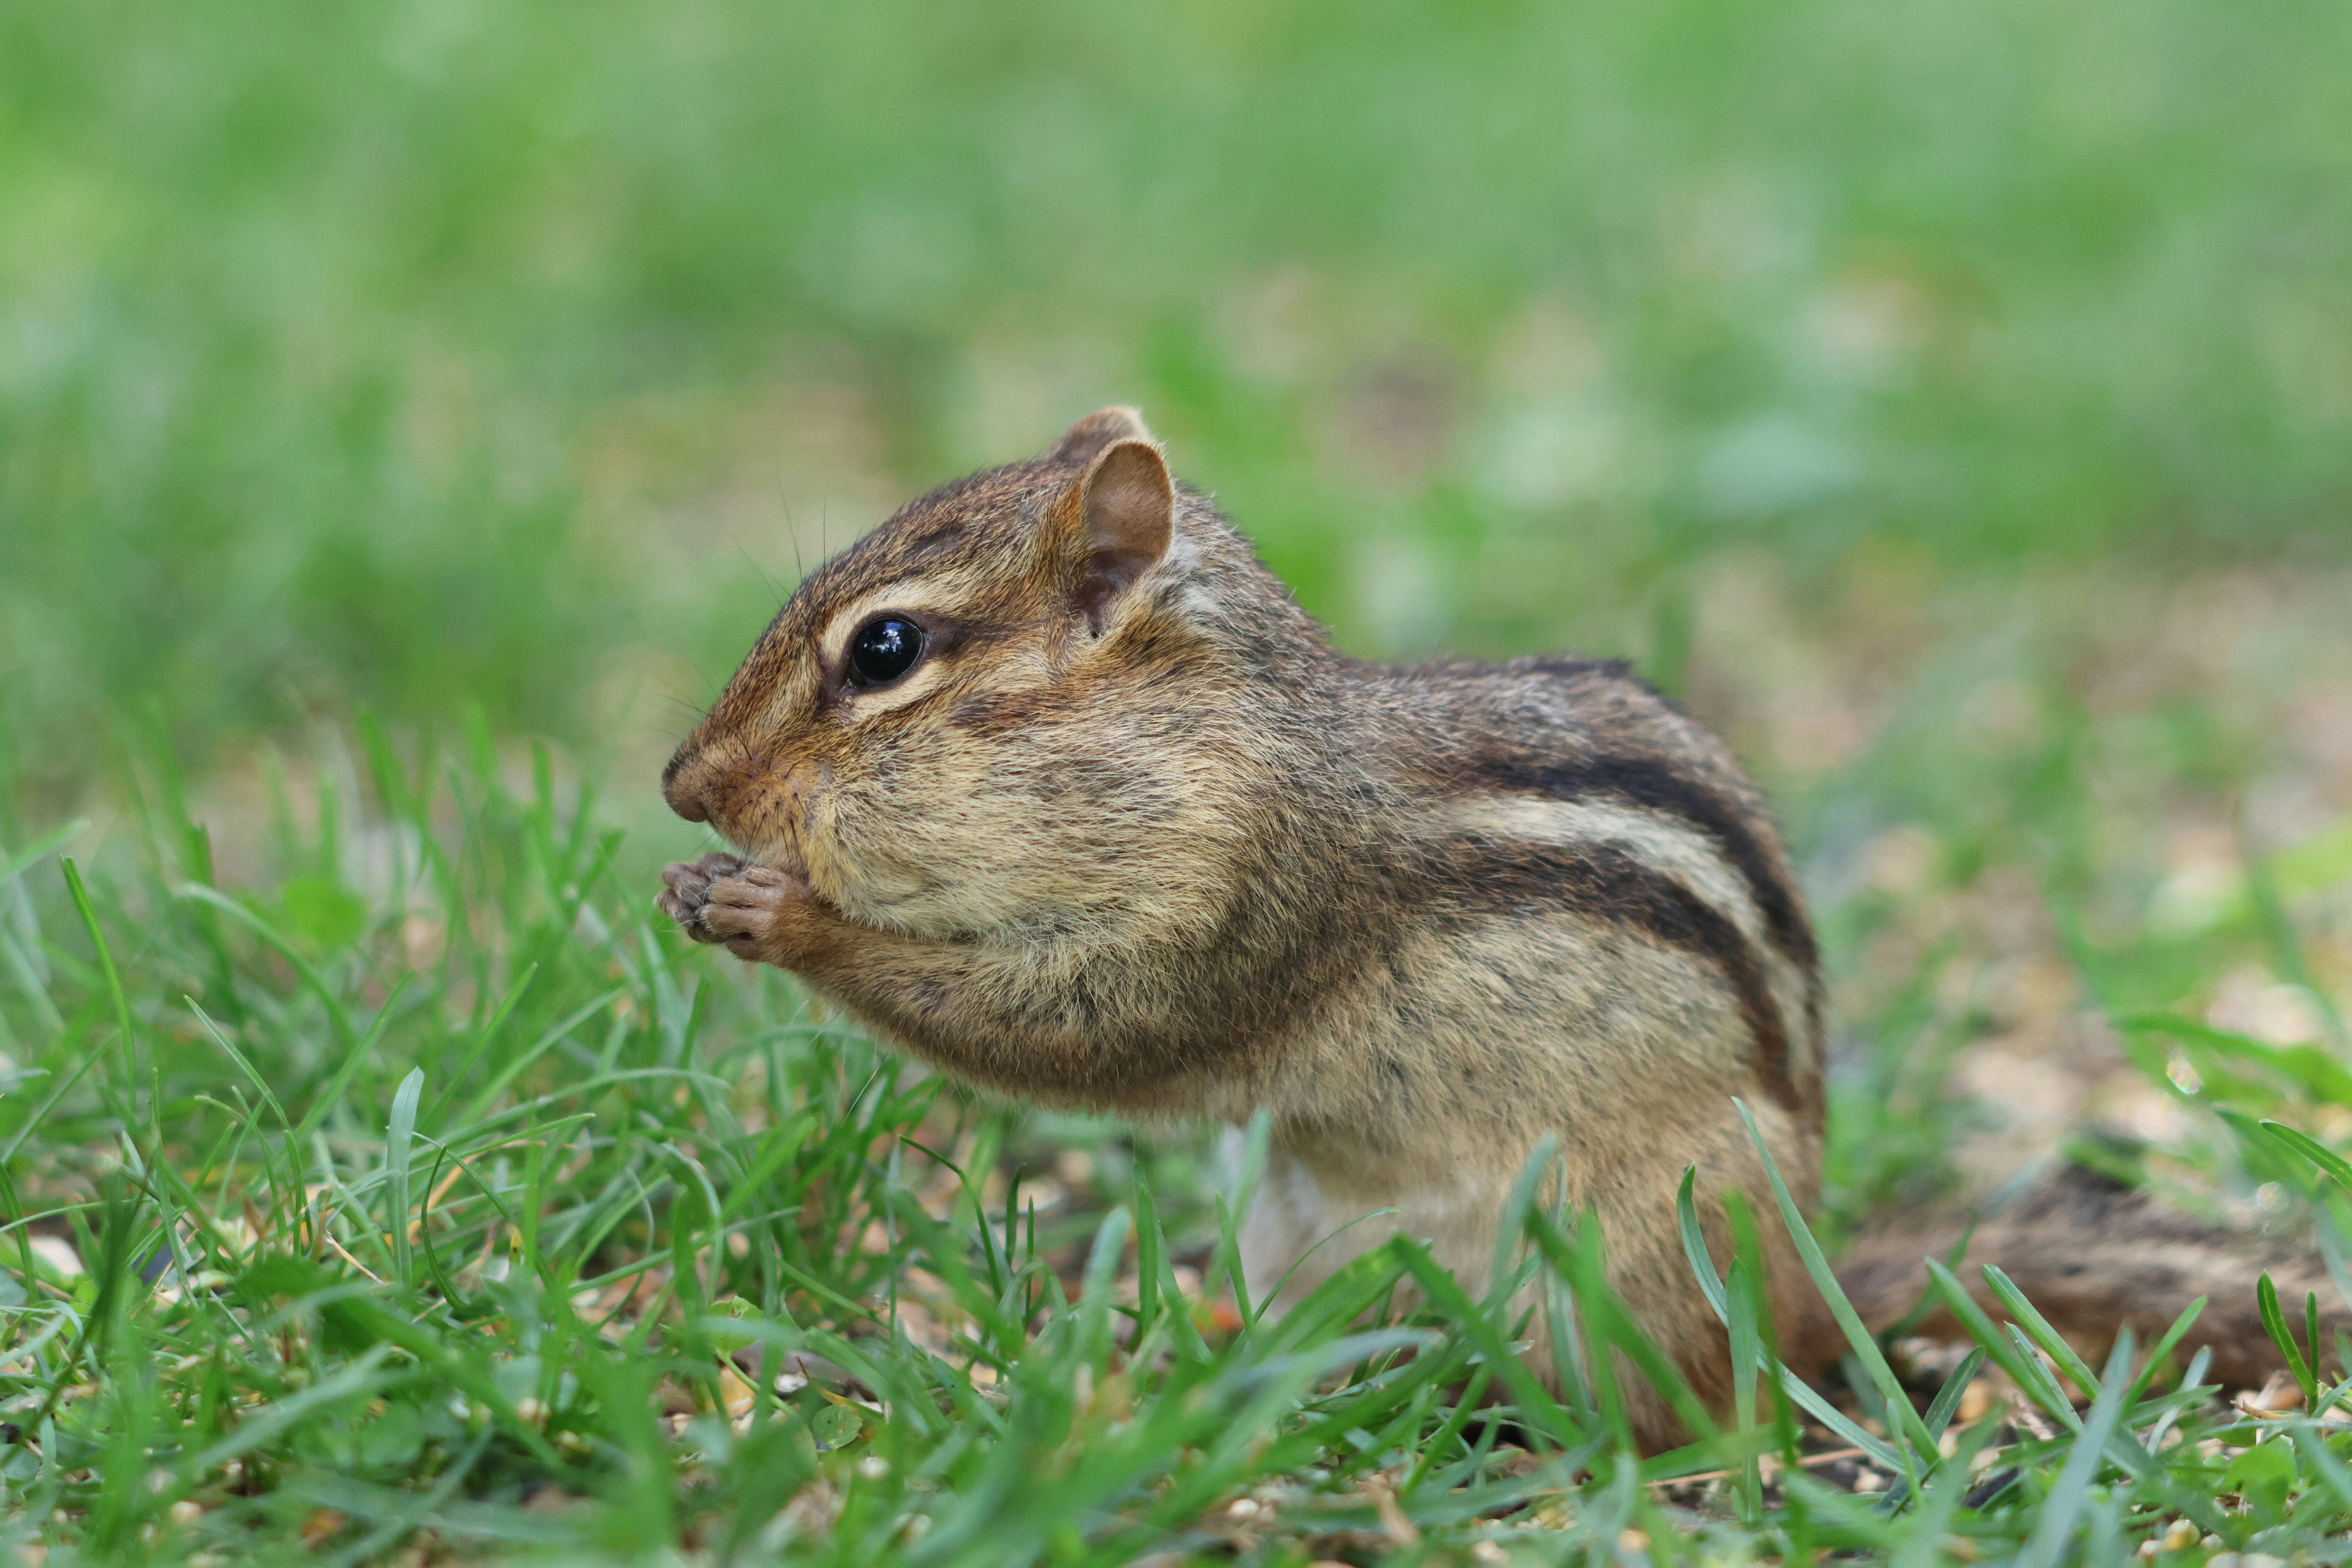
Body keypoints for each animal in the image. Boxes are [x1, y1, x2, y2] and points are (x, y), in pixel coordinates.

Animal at [657, 407, 2334, 1449]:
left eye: (884, 650)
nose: (683, 785)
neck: (1196, 740)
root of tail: (1807, 1282)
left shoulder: (1244, 909)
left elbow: (1083, 1034)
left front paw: (775, 910)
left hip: (1615, 1252)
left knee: (1696, 1410)